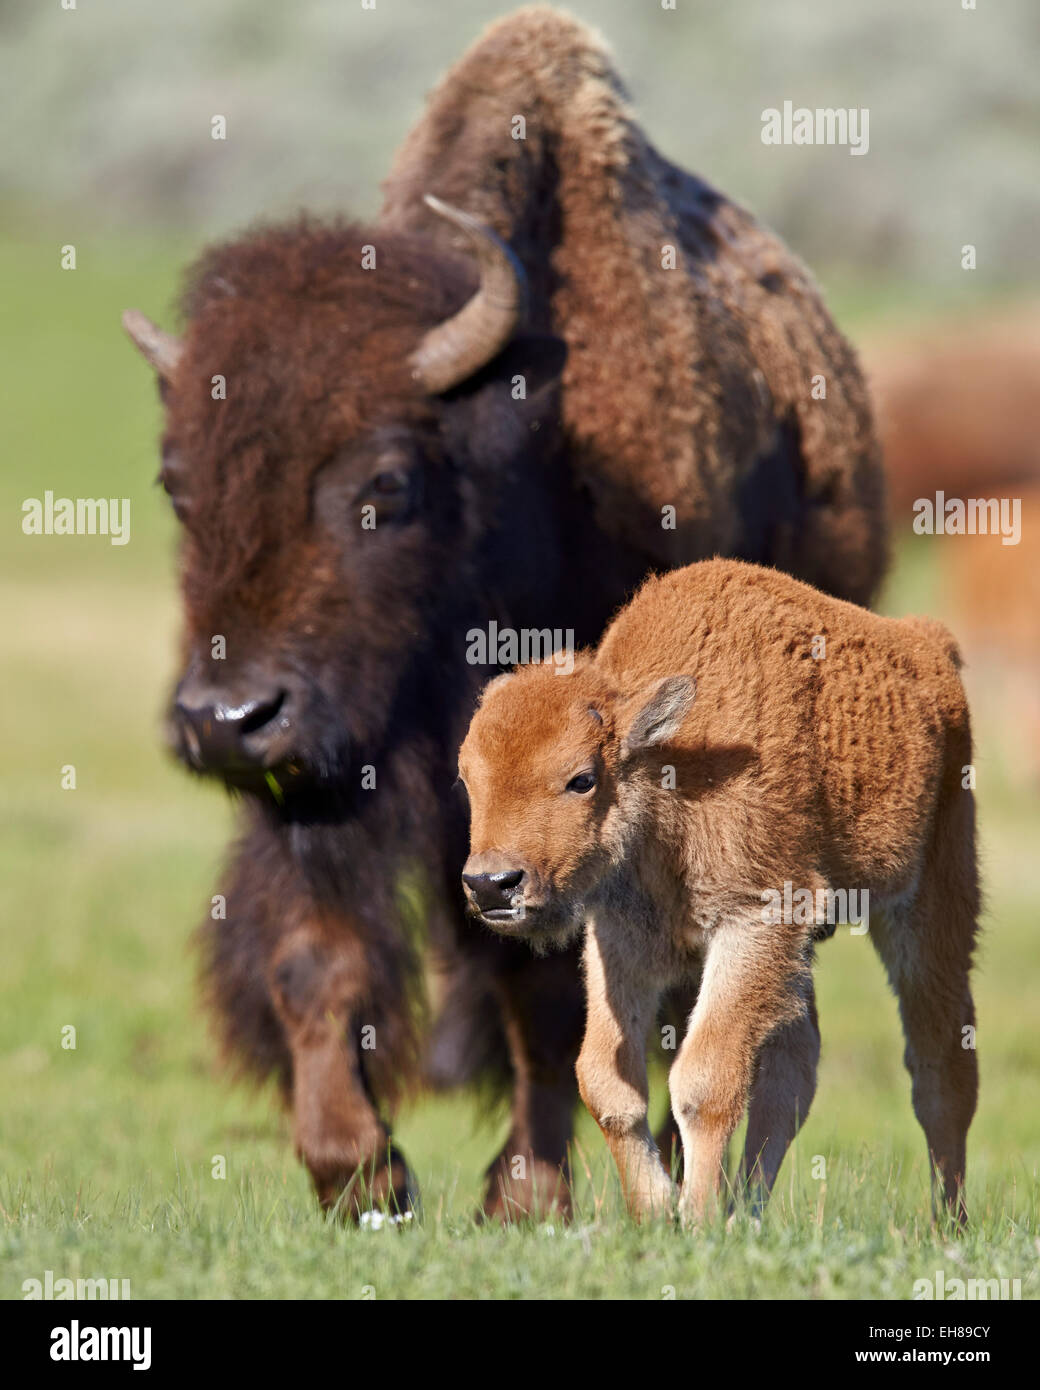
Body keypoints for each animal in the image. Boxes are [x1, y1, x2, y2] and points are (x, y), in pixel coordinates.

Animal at [122, 7, 887, 1220]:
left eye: (386, 487)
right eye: (177, 485)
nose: (225, 719)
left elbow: (549, 990)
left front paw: (524, 1194)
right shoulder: (330, 790)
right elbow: (317, 956)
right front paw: (361, 1173)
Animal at [460, 559, 979, 1226]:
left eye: (581, 779)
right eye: (467, 778)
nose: (491, 883)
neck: (667, 764)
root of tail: (928, 644)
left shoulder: (755, 921)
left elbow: (703, 1081)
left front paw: (697, 1218)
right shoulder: (620, 941)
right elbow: (606, 1080)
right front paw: (657, 1212)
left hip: (933, 899)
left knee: (940, 1066)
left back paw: (947, 1224)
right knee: (793, 1073)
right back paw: (748, 1213)